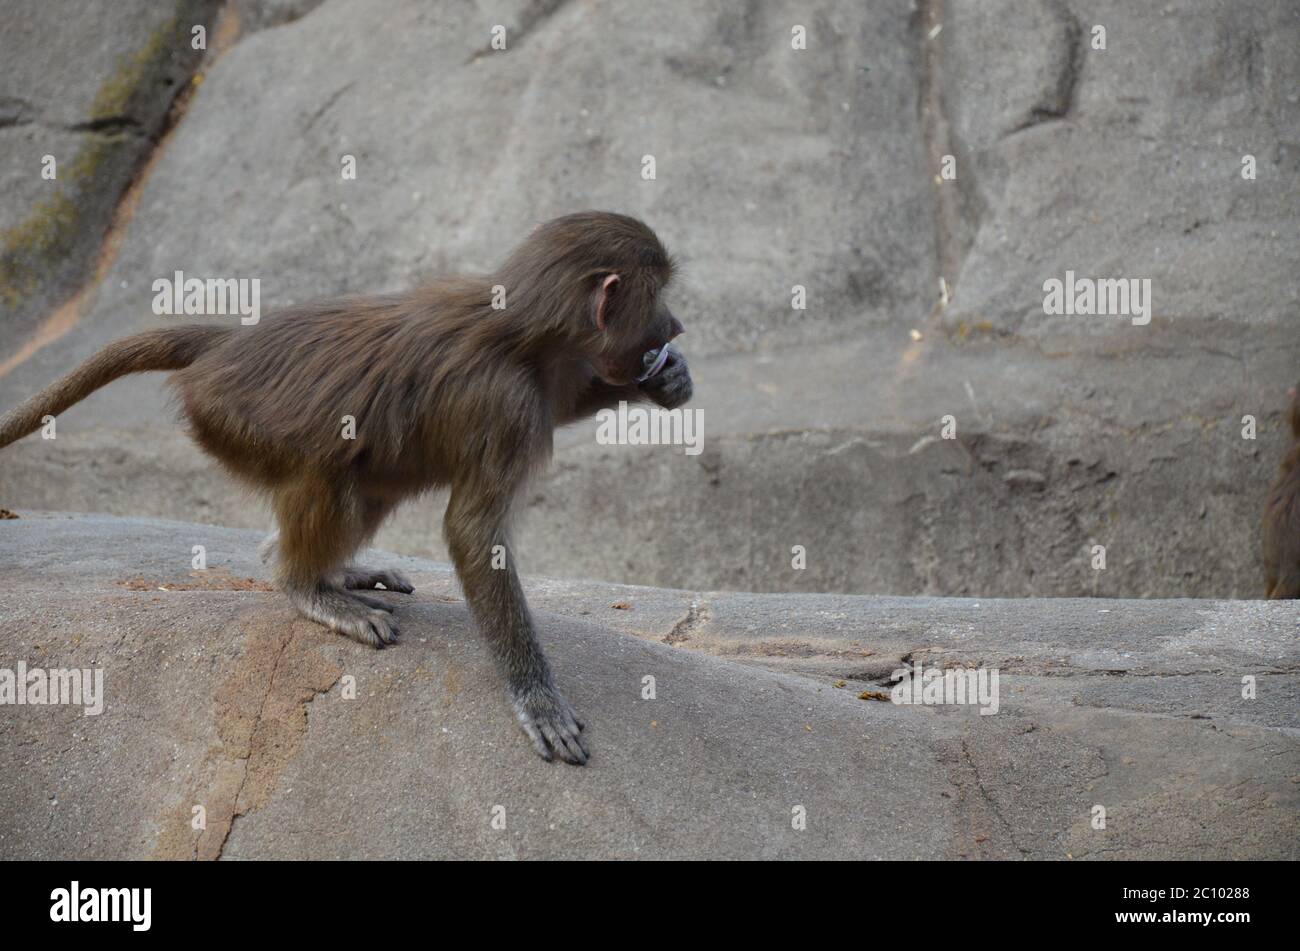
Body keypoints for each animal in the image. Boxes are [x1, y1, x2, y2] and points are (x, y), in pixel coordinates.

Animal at [0, 211, 693, 764]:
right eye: (657, 294)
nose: (677, 328)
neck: (525, 333)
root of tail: (231, 346)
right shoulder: (507, 406)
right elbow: (474, 537)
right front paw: (536, 698)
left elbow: (568, 399)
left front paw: (664, 383)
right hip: (231, 418)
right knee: (334, 477)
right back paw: (305, 585)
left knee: (369, 484)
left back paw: (322, 569)